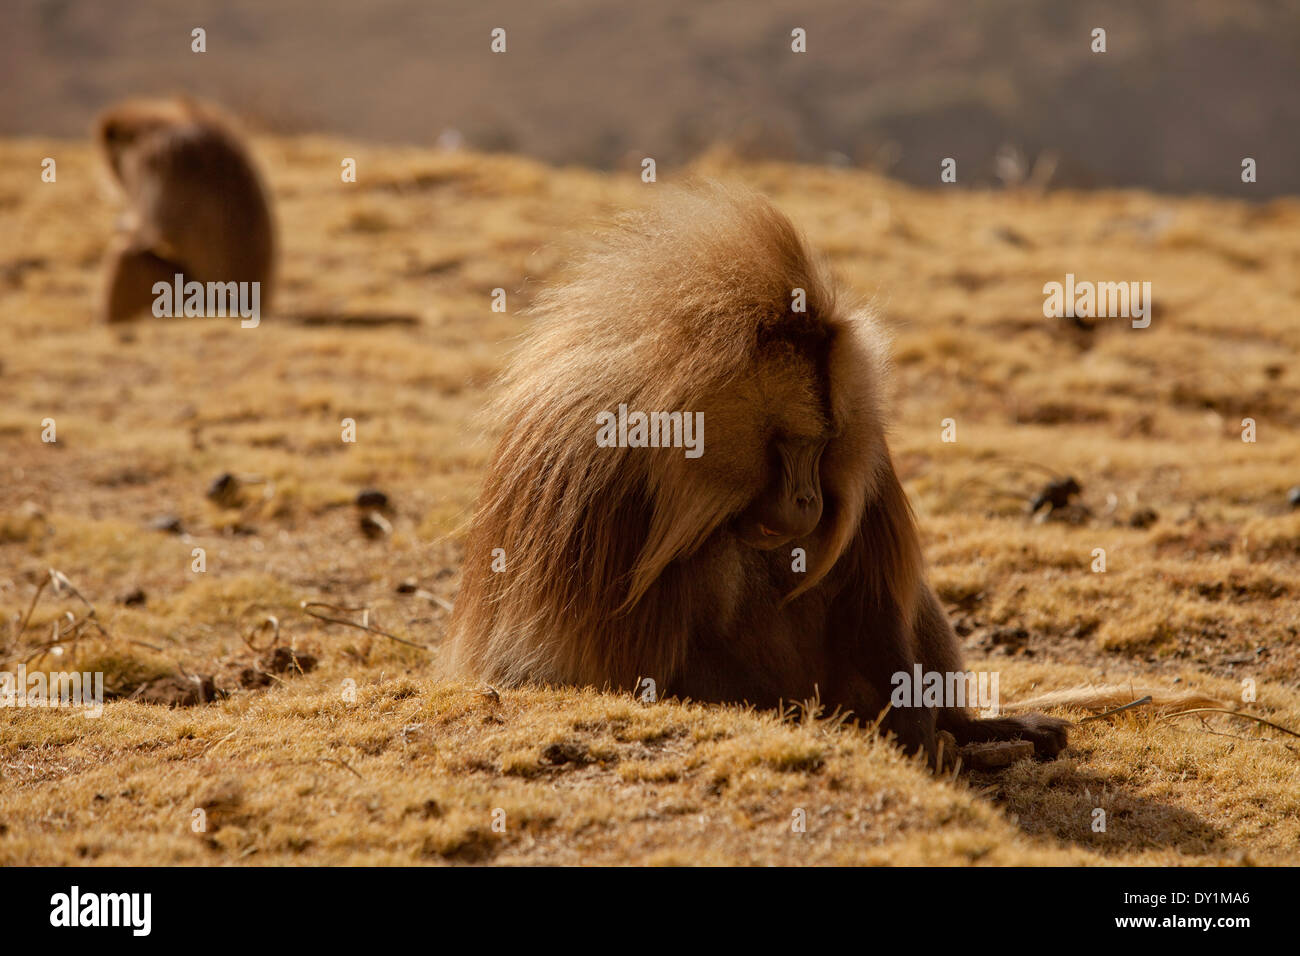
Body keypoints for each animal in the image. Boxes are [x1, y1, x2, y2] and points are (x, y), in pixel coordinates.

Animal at [448, 184, 1070, 765]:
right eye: (787, 446)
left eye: (823, 447)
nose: (808, 501)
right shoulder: (599, 487)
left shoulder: (868, 457)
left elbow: (868, 595)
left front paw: (923, 730)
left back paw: (977, 731)